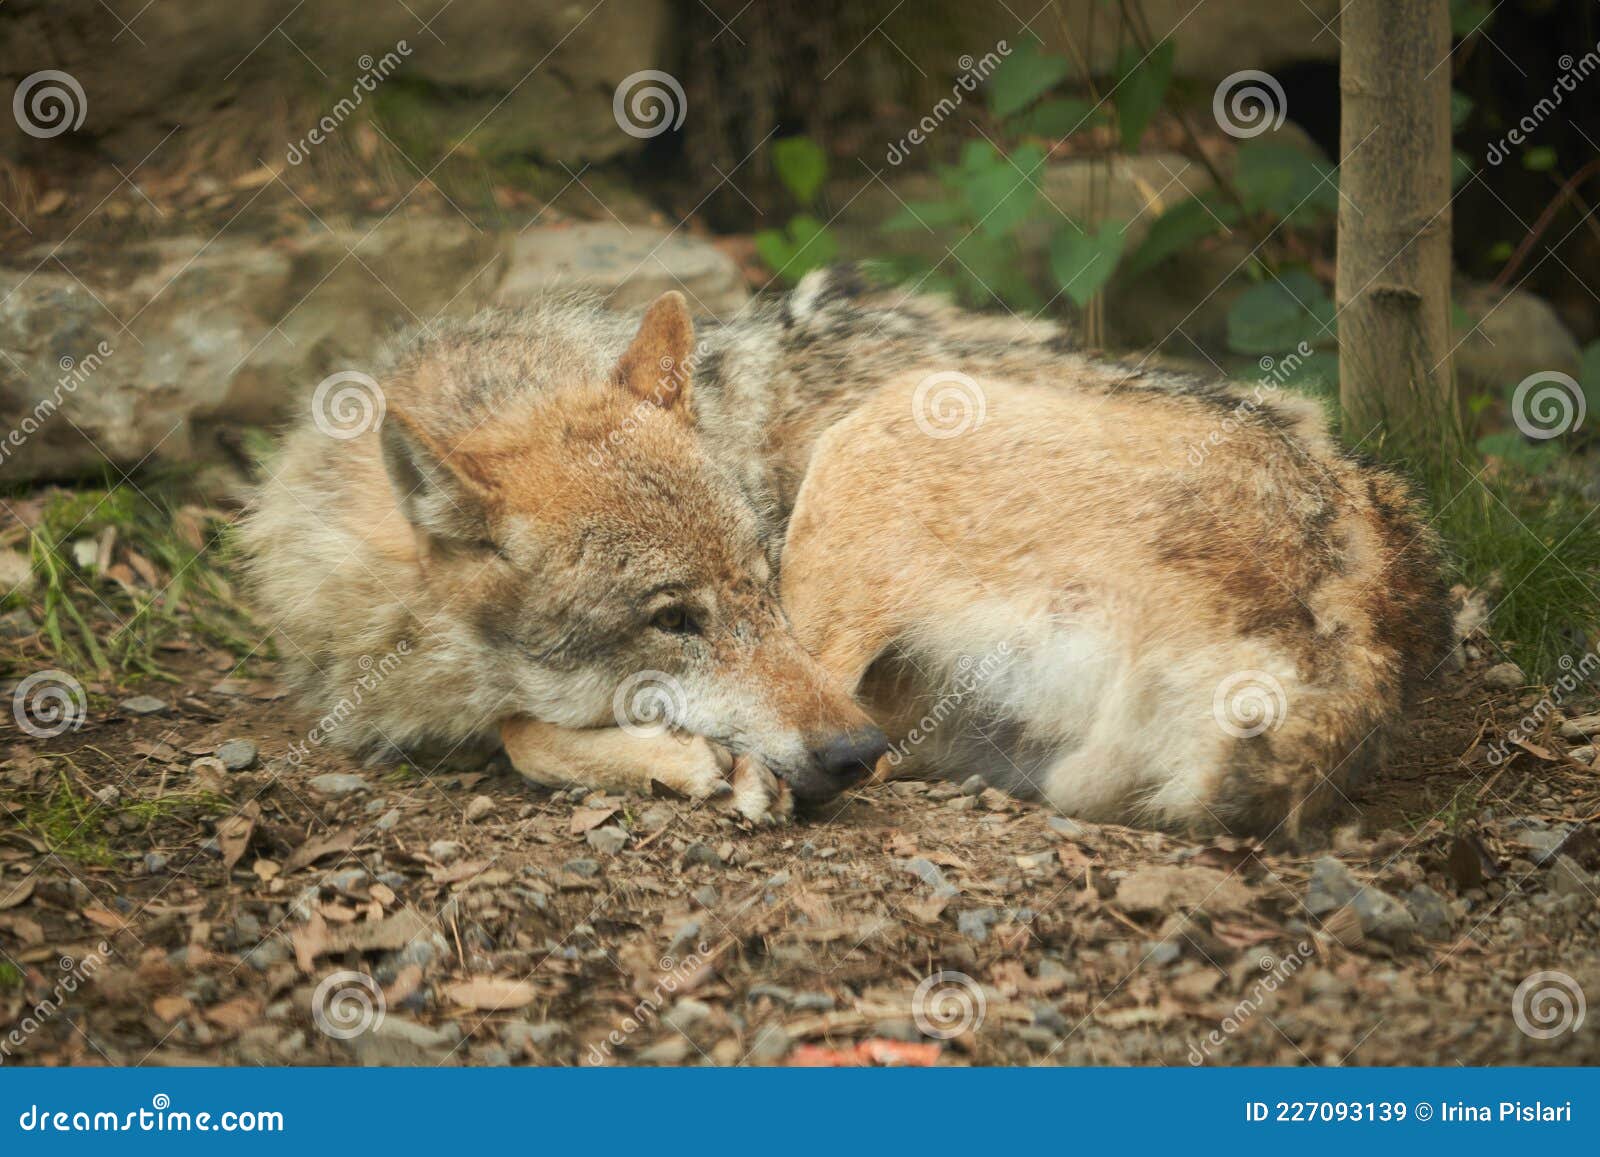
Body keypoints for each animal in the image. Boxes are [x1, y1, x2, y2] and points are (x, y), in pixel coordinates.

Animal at [242, 268, 1450, 839]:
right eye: (673, 618)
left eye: (755, 579)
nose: (850, 756)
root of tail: (1366, 597)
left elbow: (520, 729)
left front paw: (682, 763)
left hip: (880, 446)